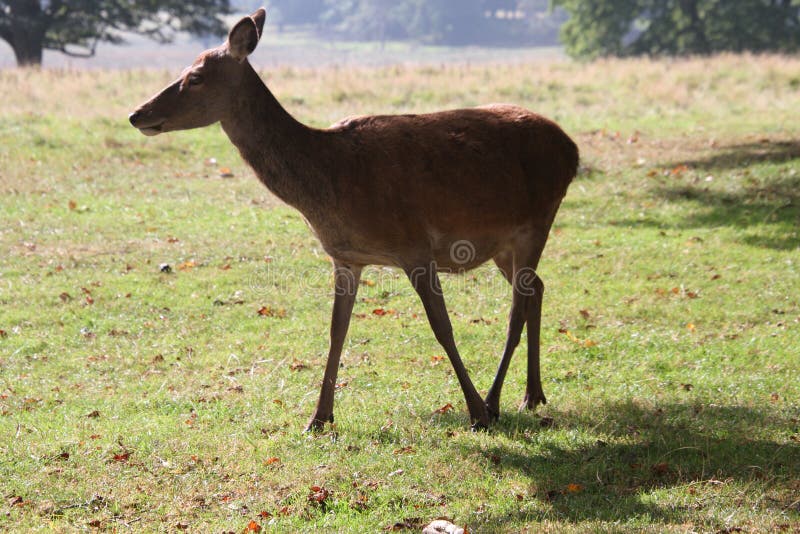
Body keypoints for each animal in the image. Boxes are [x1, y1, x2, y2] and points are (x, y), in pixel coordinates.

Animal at [129, 8, 579, 432]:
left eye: (196, 76)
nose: (137, 114)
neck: (332, 184)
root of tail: (572, 148)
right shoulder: (345, 257)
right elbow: (336, 330)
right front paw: (318, 418)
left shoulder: (415, 246)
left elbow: (442, 327)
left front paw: (475, 414)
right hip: (504, 244)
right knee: (537, 288)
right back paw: (533, 393)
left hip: (537, 220)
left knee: (518, 306)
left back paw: (496, 401)